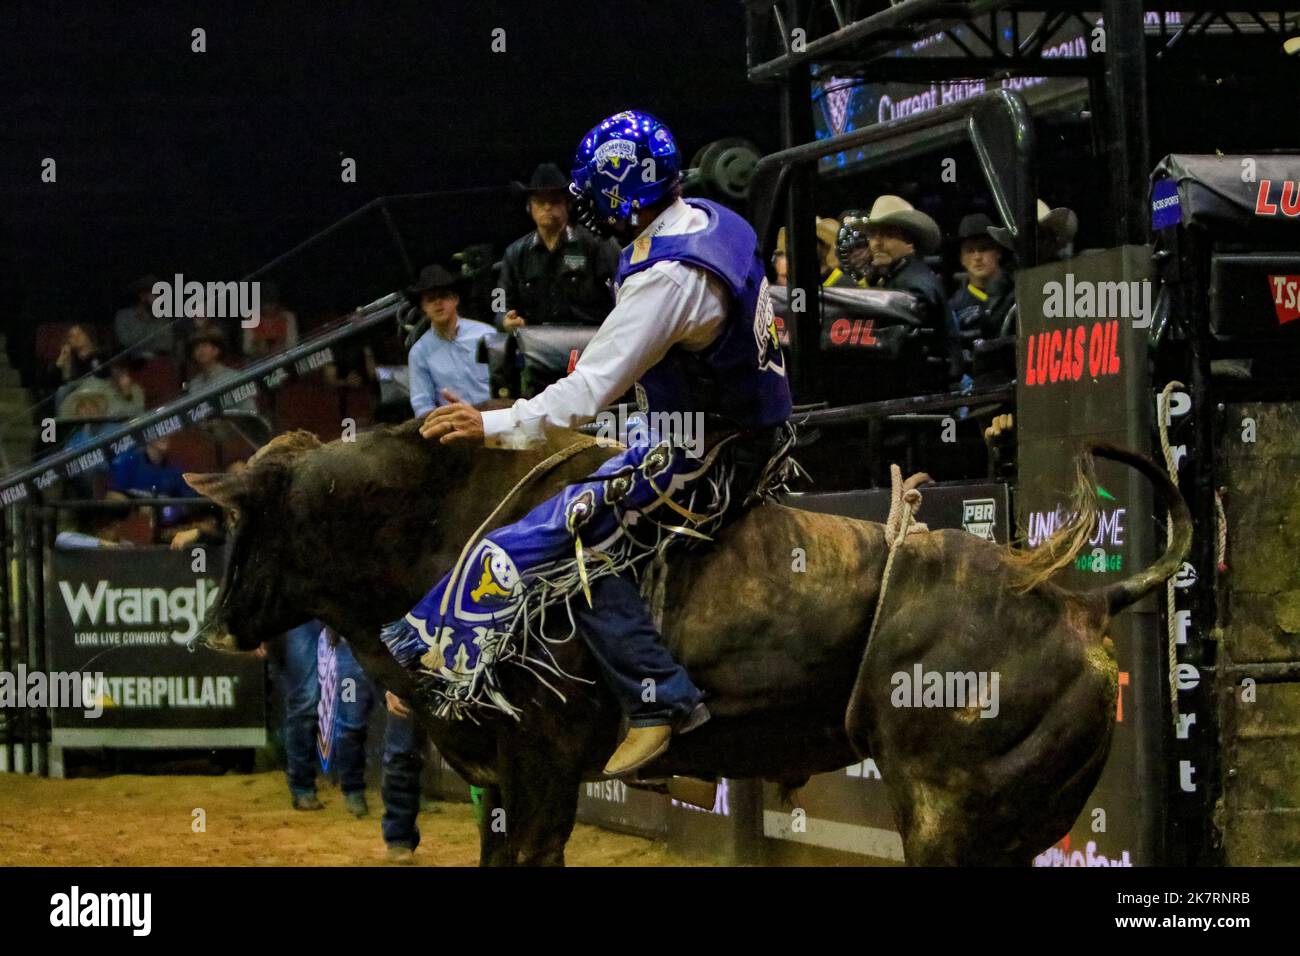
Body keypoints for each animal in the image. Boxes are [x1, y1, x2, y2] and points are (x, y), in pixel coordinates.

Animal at [184, 420, 1191, 866]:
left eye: (241, 524)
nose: (217, 627)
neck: (441, 522)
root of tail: (1077, 600)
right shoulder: (500, 777)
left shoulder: (543, 763)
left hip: (955, 820)